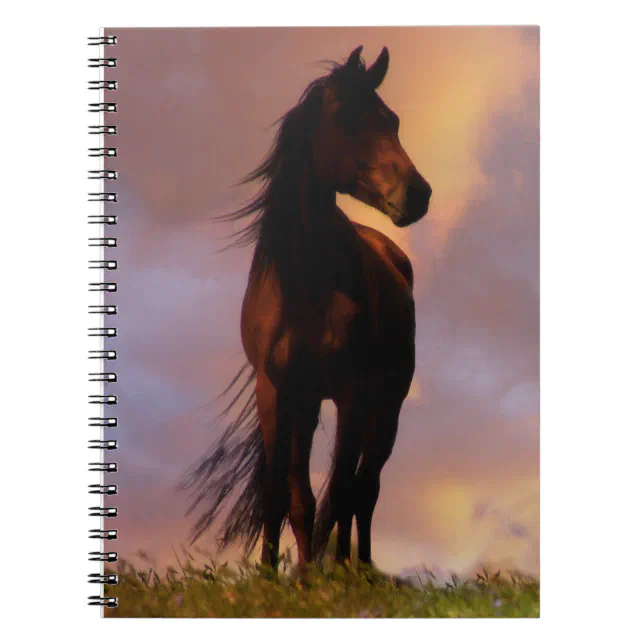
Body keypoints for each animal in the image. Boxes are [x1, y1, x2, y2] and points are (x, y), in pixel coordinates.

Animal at [183, 46, 432, 571]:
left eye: (393, 120)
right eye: (345, 118)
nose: (418, 194)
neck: (305, 287)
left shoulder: (353, 393)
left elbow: (338, 493)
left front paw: (320, 575)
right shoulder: (281, 391)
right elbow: (284, 494)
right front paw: (278, 574)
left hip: (386, 404)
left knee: (364, 490)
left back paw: (359, 569)